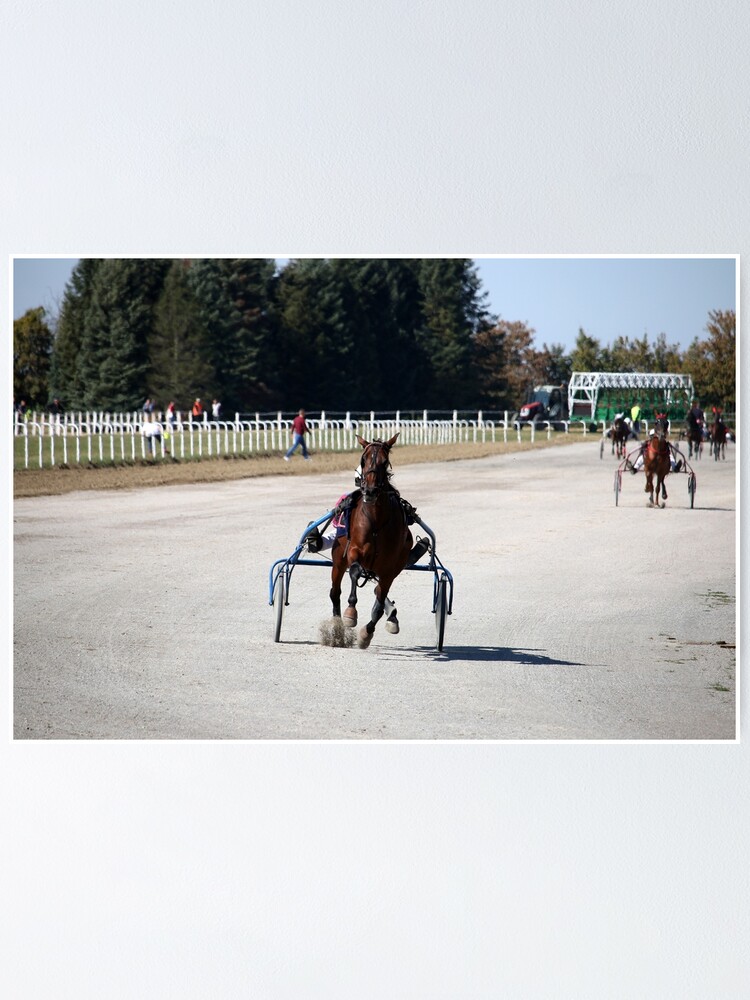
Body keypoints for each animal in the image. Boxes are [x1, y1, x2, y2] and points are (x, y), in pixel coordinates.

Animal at [329, 434, 415, 649]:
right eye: (363, 460)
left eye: (384, 462)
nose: (370, 491)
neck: (376, 520)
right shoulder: (354, 550)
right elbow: (355, 571)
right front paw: (350, 613)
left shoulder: (389, 569)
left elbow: (379, 603)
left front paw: (366, 634)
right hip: (338, 559)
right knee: (335, 592)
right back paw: (337, 628)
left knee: (378, 593)